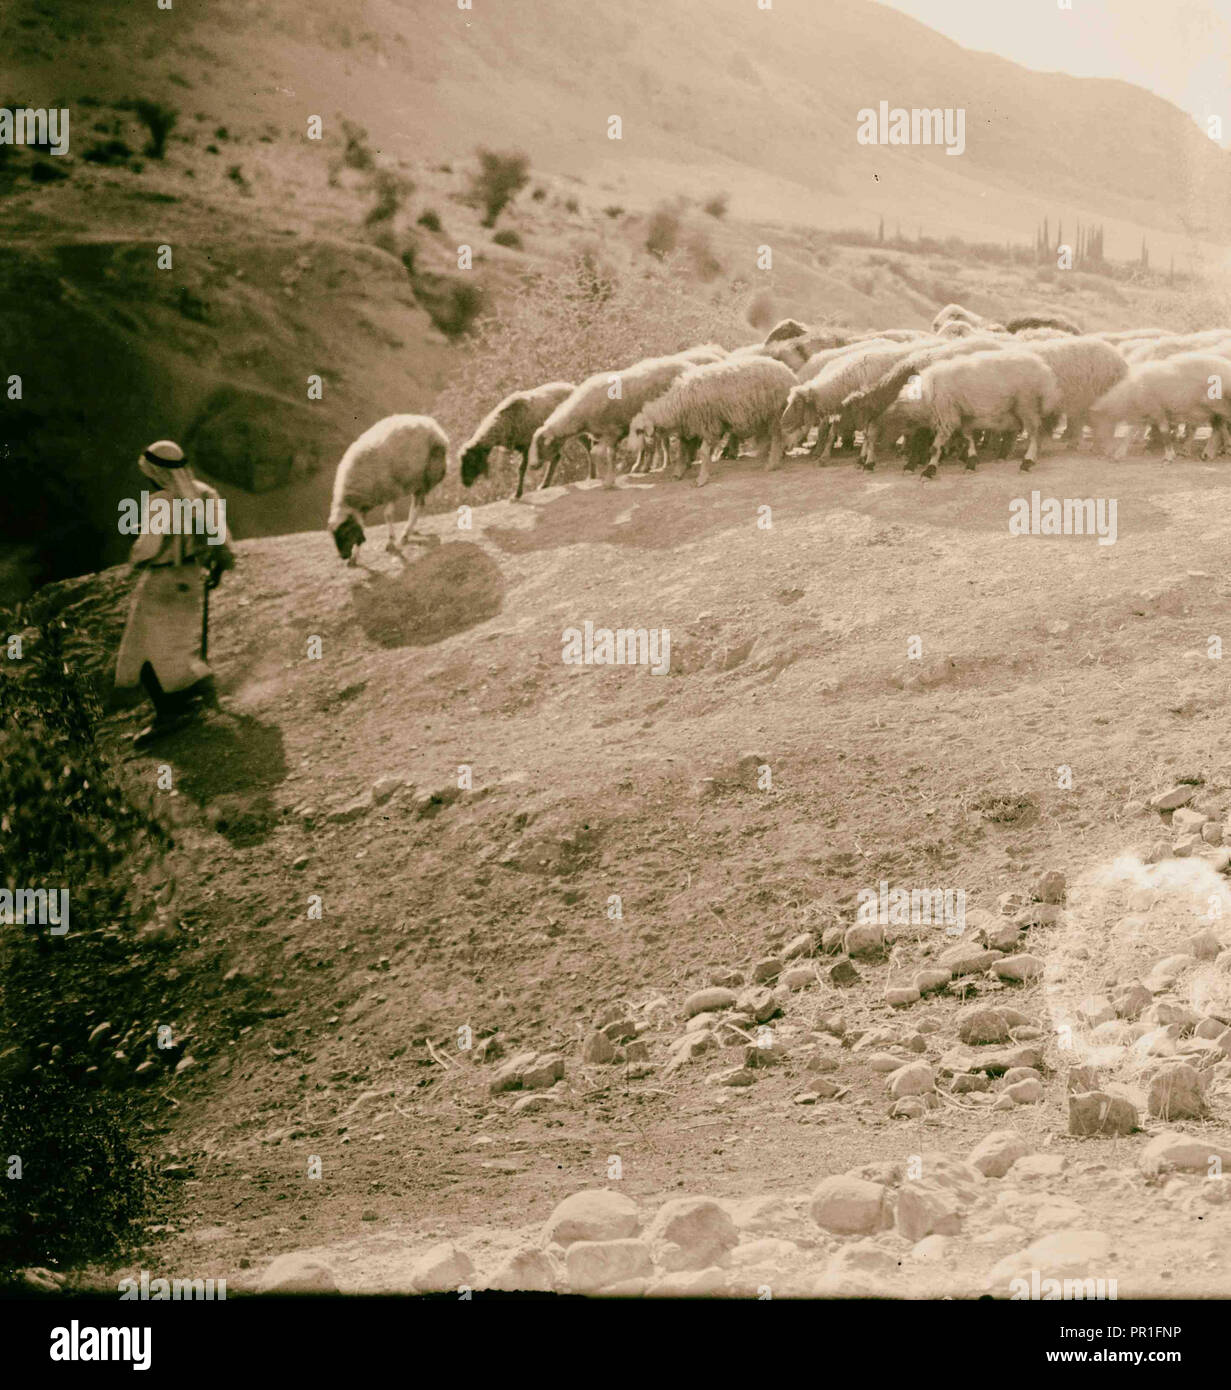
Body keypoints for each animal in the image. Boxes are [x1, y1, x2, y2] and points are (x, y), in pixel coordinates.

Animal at [329, 415, 448, 565]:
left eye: (346, 533)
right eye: (333, 536)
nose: (343, 556)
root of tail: (436, 428)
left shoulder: (390, 491)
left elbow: (388, 515)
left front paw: (391, 541)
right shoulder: (362, 507)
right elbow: (362, 527)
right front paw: (355, 557)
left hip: (425, 477)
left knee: (418, 506)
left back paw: (405, 534)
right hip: (415, 482)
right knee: (416, 505)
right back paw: (411, 530)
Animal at [626, 356, 796, 488]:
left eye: (638, 431)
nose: (629, 450)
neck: (676, 406)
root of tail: (790, 373)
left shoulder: (709, 426)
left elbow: (703, 452)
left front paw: (701, 478)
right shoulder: (689, 428)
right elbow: (683, 452)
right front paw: (678, 473)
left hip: (775, 413)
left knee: (776, 438)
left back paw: (772, 463)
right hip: (766, 416)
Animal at [914, 350, 1063, 476]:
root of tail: (1044, 370)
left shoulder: (947, 414)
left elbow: (935, 445)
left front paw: (929, 470)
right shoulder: (965, 415)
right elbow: (968, 438)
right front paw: (971, 462)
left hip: (1027, 403)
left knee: (1035, 433)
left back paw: (1027, 462)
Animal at [1088, 353, 1231, 462]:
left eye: (1097, 423)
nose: (1102, 450)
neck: (1129, 395)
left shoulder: (1157, 410)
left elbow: (1164, 432)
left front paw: (1169, 456)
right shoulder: (1145, 413)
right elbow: (1130, 433)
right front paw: (1119, 453)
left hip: (1220, 406)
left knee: (1219, 428)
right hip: (1215, 410)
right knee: (1219, 428)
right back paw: (1209, 453)